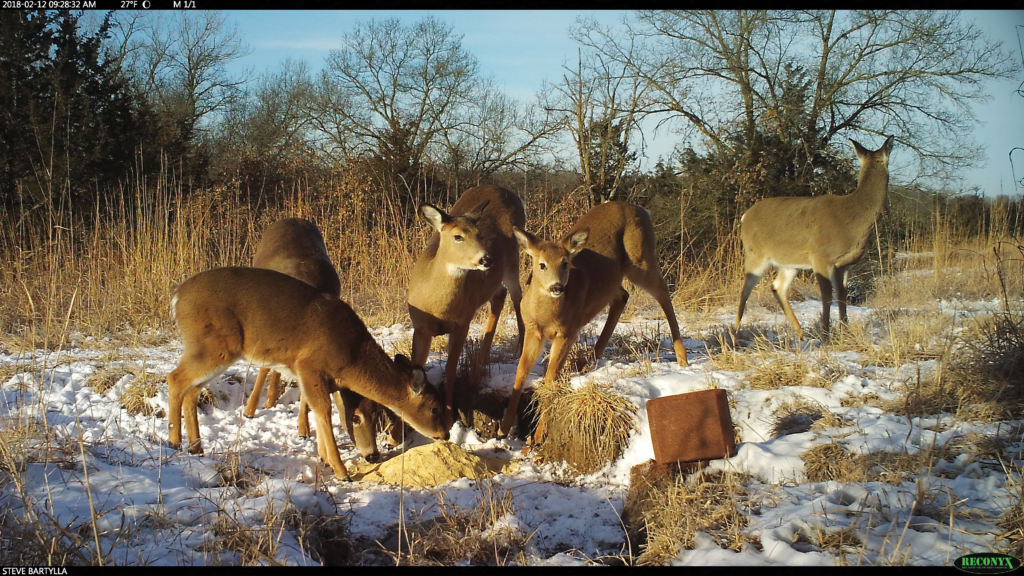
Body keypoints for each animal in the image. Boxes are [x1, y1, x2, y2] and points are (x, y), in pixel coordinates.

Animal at [167, 266, 449, 481]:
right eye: (434, 408)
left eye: (378, 415)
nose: (444, 435)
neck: (352, 355)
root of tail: (176, 297)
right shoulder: (309, 366)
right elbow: (322, 410)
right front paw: (341, 471)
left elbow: (316, 409)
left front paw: (325, 458)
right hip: (212, 346)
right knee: (175, 378)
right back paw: (174, 442)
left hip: (211, 351)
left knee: (192, 389)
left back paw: (196, 447)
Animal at [240, 217, 382, 464]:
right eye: (355, 417)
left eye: (376, 414)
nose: (373, 455)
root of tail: (290, 218)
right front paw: (250, 410)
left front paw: (303, 428)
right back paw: (254, 406)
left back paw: (271, 399)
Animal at [408, 185, 526, 429]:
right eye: (458, 236)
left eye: (479, 234)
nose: (486, 260)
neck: (438, 306)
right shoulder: (420, 327)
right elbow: (417, 367)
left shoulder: (462, 325)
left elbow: (451, 369)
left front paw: (450, 419)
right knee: (499, 295)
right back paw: (482, 357)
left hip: (513, 261)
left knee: (517, 295)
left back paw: (520, 345)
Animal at [498, 201, 689, 439]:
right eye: (541, 264)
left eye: (565, 263)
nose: (557, 287)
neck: (547, 316)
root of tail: (642, 210)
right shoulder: (534, 330)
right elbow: (521, 370)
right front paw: (503, 427)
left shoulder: (567, 332)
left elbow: (551, 377)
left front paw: (539, 433)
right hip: (614, 278)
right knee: (622, 296)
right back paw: (591, 358)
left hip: (640, 258)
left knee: (663, 291)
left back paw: (682, 356)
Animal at [734, 135, 895, 339]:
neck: (850, 217)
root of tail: (745, 216)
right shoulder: (820, 257)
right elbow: (826, 296)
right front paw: (826, 334)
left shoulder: (845, 264)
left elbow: (842, 295)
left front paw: (845, 330)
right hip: (756, 254)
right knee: (745, 289)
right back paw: (735, 331)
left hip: (790, 262)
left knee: (777, 287)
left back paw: (800, 332)